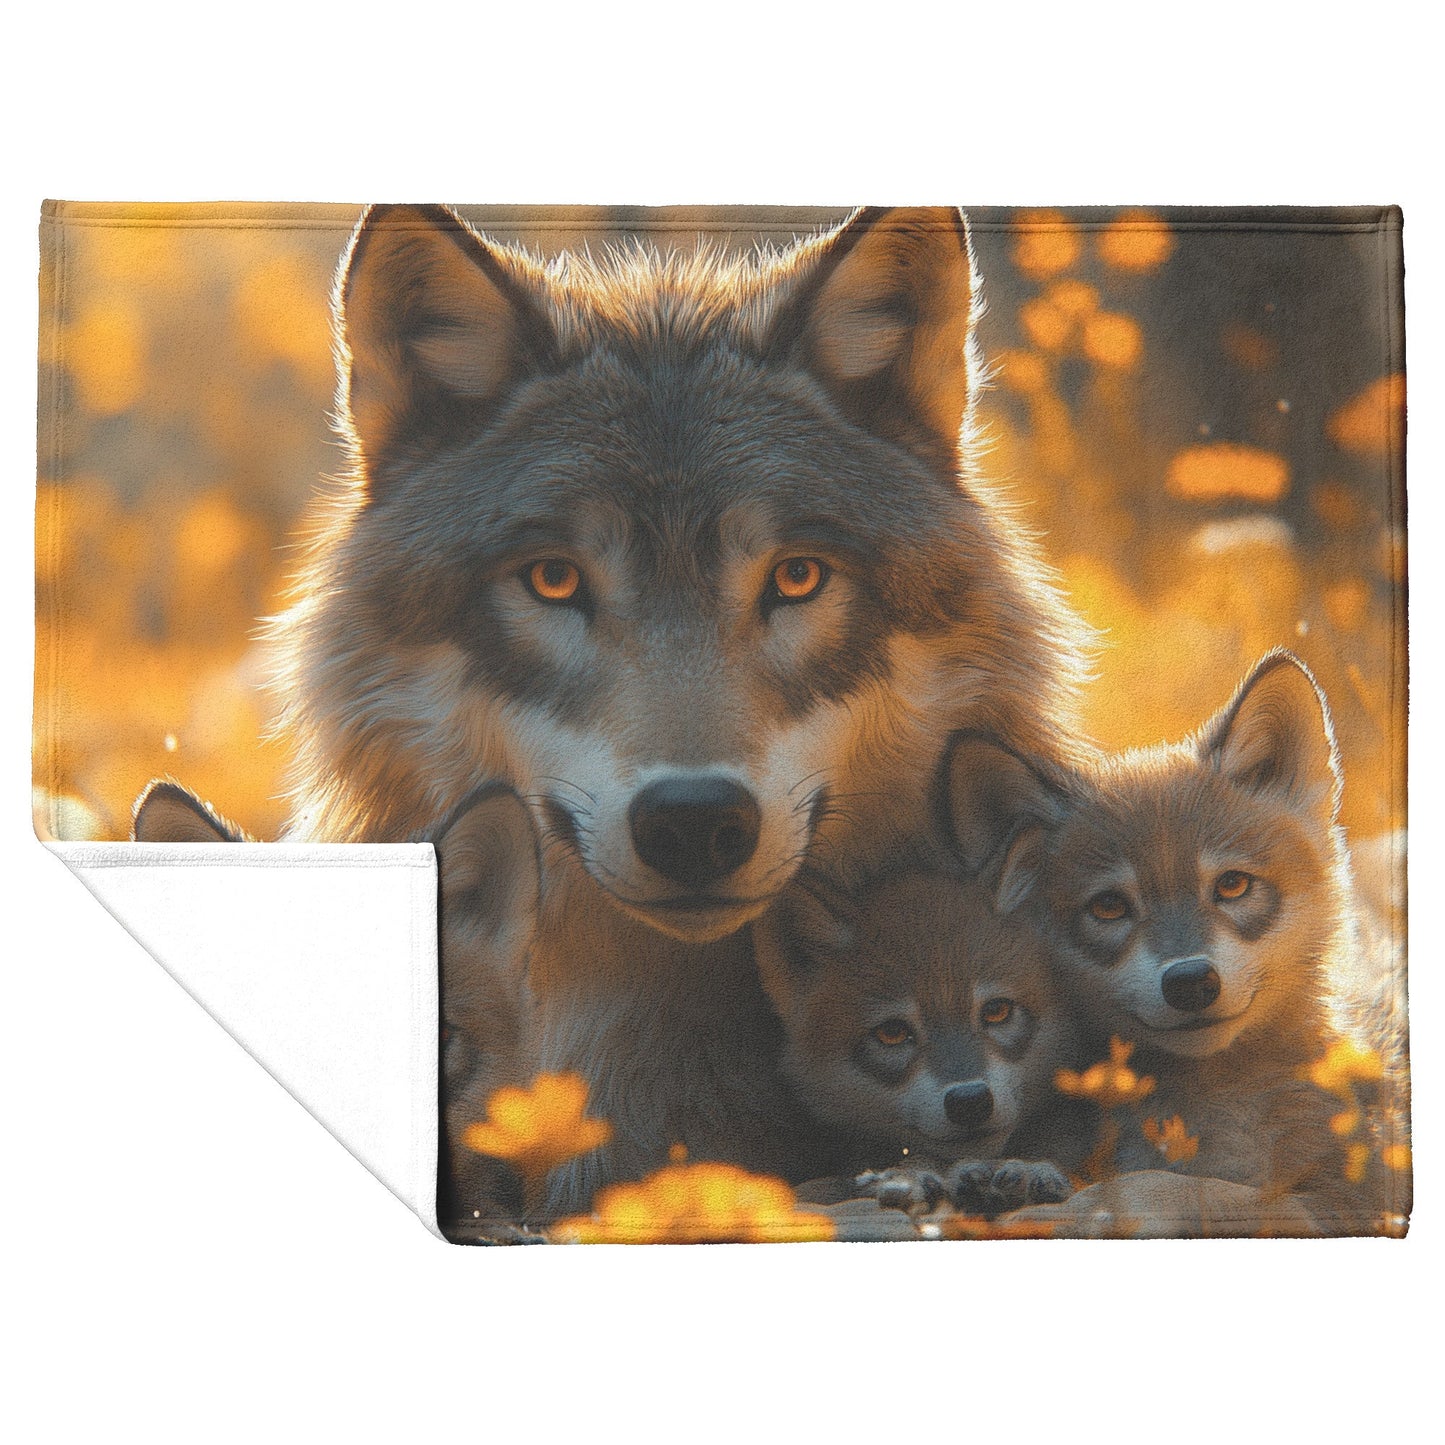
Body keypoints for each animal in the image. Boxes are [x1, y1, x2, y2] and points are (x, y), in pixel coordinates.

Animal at [948, 652, 1402, 1232]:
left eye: (1232, 885)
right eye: (1109, 906)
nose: (1190, 981)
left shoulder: (1347, 1204)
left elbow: (1167, 1185)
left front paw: (1076, 1209)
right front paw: (1020, 1178)